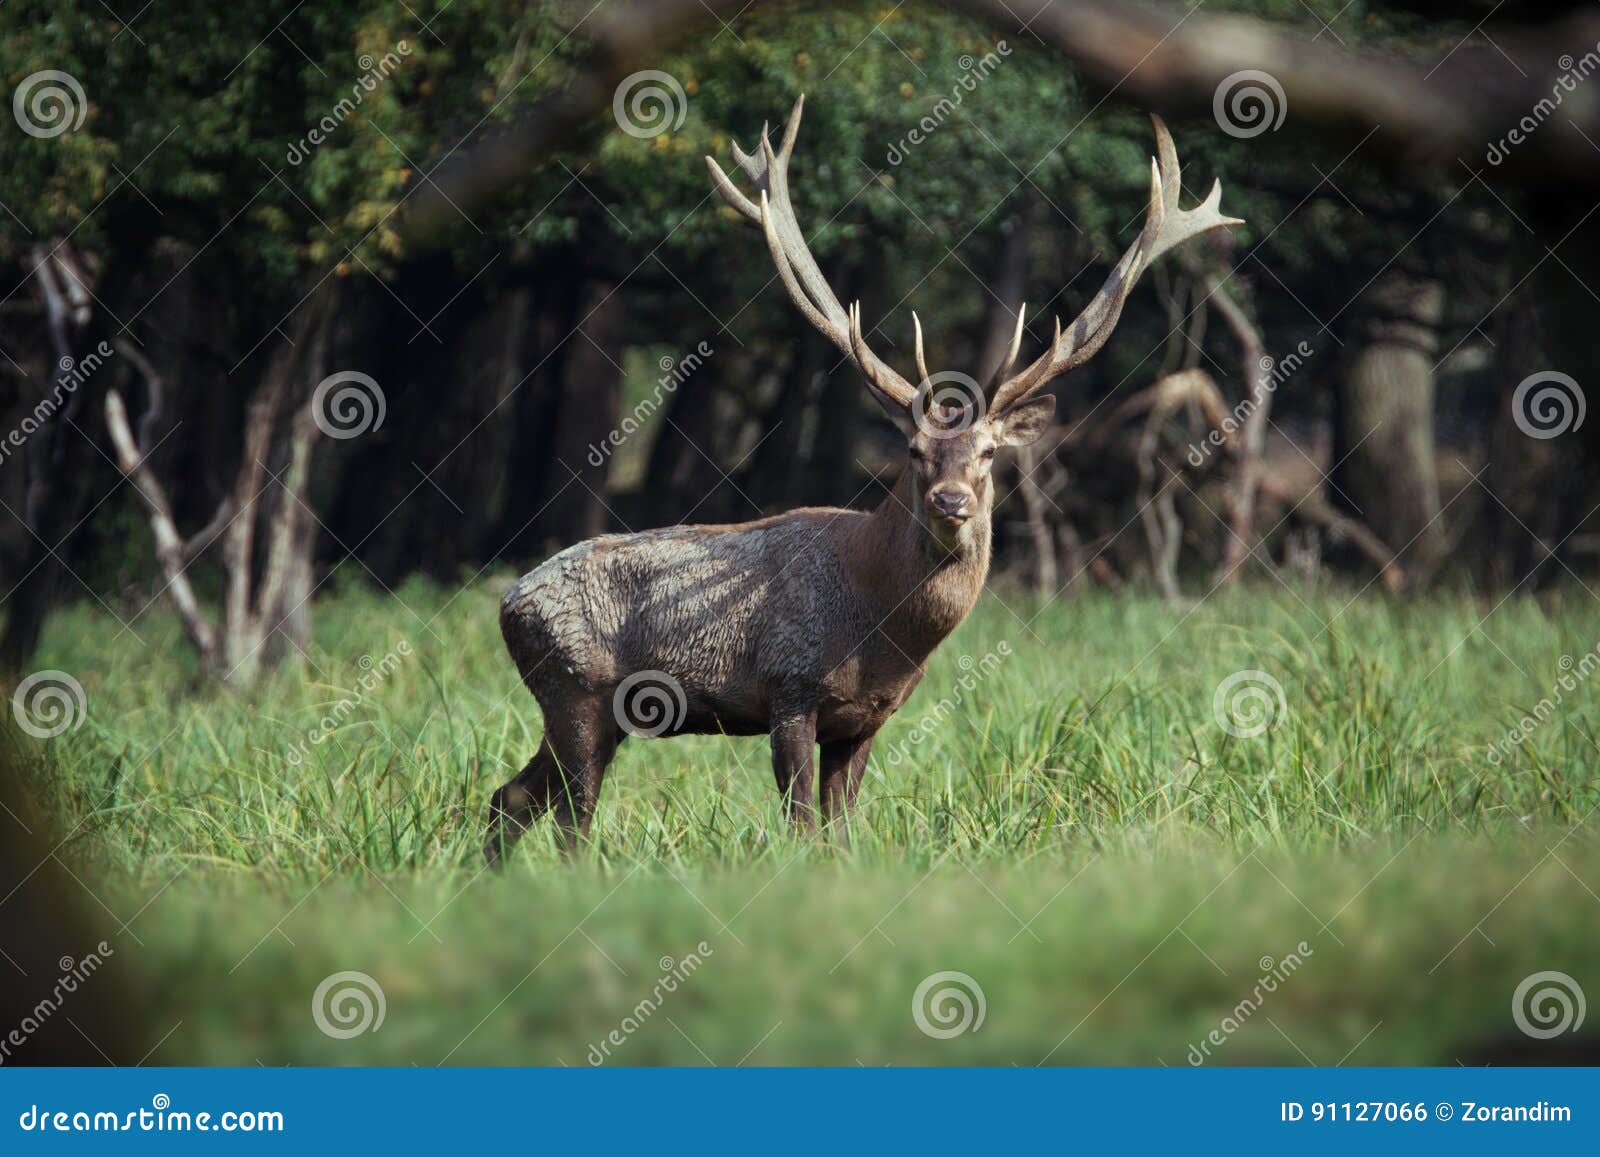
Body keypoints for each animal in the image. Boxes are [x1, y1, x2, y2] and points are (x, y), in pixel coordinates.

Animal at [485, 95, 1241, 865]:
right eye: (912, 448)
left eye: (988, 453)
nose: (950, 501)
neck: (880, 627)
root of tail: (508, 602)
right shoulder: (789, 686)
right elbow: (800, 828)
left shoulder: (867, 718)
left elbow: (842, 834)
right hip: (577, 690)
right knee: (570, 821)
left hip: (588, 708)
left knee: (509, 797)